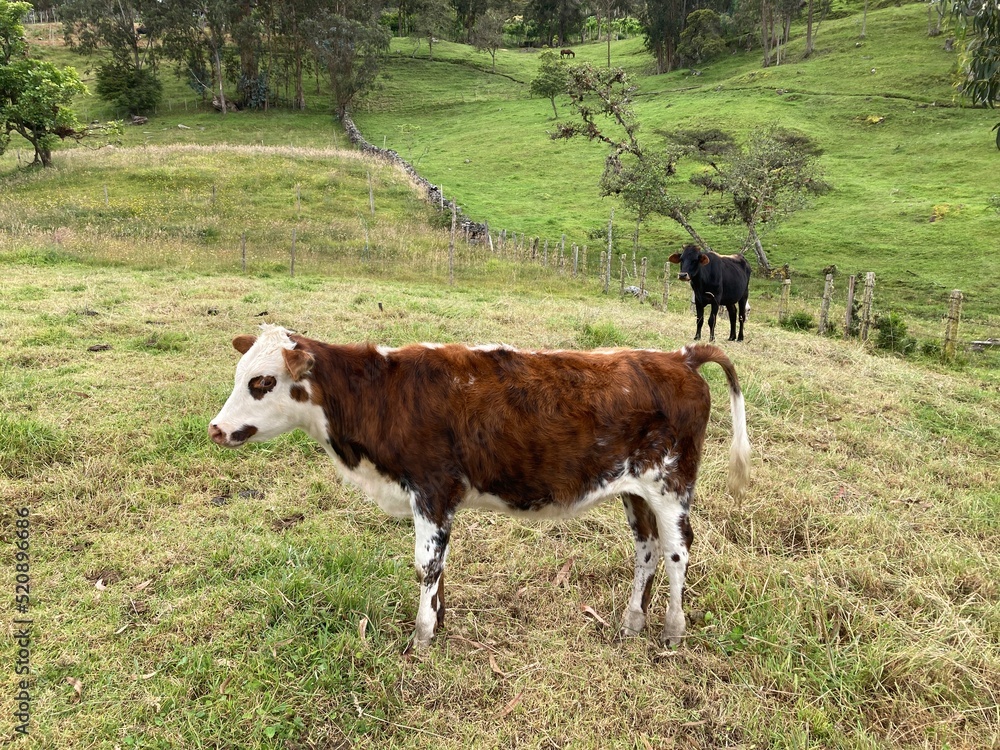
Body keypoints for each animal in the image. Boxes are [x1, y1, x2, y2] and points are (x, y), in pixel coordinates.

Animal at [209, 324, 751, 652]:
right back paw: (632, 619)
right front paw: (440, 622)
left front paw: (423, 637)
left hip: (671, 484)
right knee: (647, 547)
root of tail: (679, 357)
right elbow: (439, 568)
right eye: (240, 375)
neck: (382, 393)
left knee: (678, 549)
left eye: (262, 382)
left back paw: (673, 629)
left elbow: (426, 565)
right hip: (635, 490)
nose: (215, 429)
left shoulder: (432, 489)